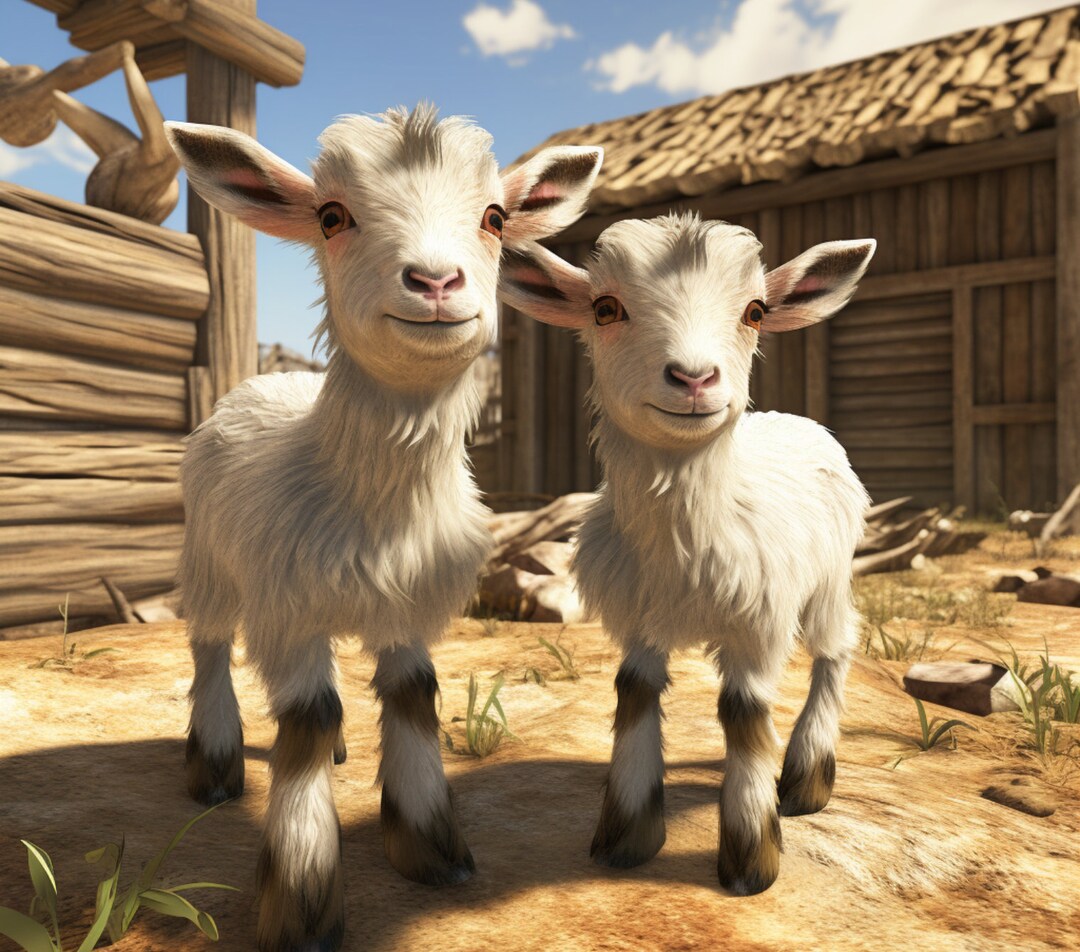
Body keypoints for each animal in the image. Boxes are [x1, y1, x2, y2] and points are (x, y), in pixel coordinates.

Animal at [166, 105, 601, 952]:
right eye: (332, 217)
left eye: (495, 218)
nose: (434, 282)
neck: (377, 502)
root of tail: (264, 379)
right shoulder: (287, 609)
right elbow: (305, 720)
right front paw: (302, 903)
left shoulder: (409, 606)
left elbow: (413, 697)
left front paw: (433, 853)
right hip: (209, 559)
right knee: (208, 645)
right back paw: (214, 769)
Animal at [499, 213, 874, 896]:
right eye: (605, 308)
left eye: (755, 311)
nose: (695, 380)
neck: (686, 543)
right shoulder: (638, 620)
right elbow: (634, 692)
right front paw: (626, 839)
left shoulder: (758, 623)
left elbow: (743, 712)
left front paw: (750, 862)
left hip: (829, 579)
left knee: (835, 650)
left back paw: (807, 779)